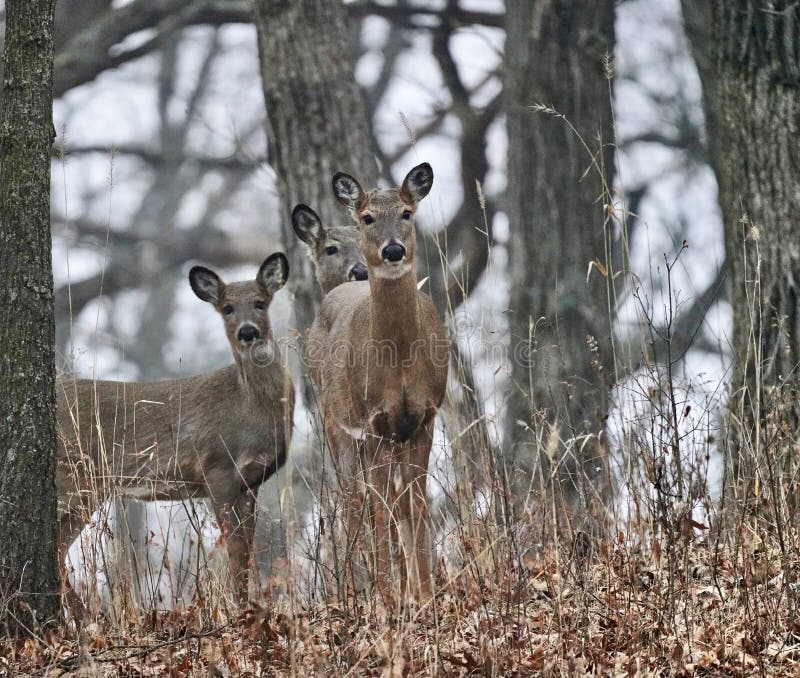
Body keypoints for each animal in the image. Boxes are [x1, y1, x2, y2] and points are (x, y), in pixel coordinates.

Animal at [56, 252, 294, 613]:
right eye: (227, 307)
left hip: (87, 490)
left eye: (260, 302)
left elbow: (247, 549)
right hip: (70, 477)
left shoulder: (251, 481)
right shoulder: (217, 468)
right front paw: (240, 611)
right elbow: (235, 549)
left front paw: (248, 606)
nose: (248, 332)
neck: (252, 406)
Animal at [305, 163, 449, 602]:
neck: (399, 362)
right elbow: (380, 509)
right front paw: (390, 599)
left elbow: (415, 505)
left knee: (384, 503)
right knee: (354, 502)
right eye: (367, 218)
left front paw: (424, 596)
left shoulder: (424, 416)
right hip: (335, 423)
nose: (393, 251)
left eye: (407, 212)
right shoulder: (374, 422)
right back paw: (361, 591)